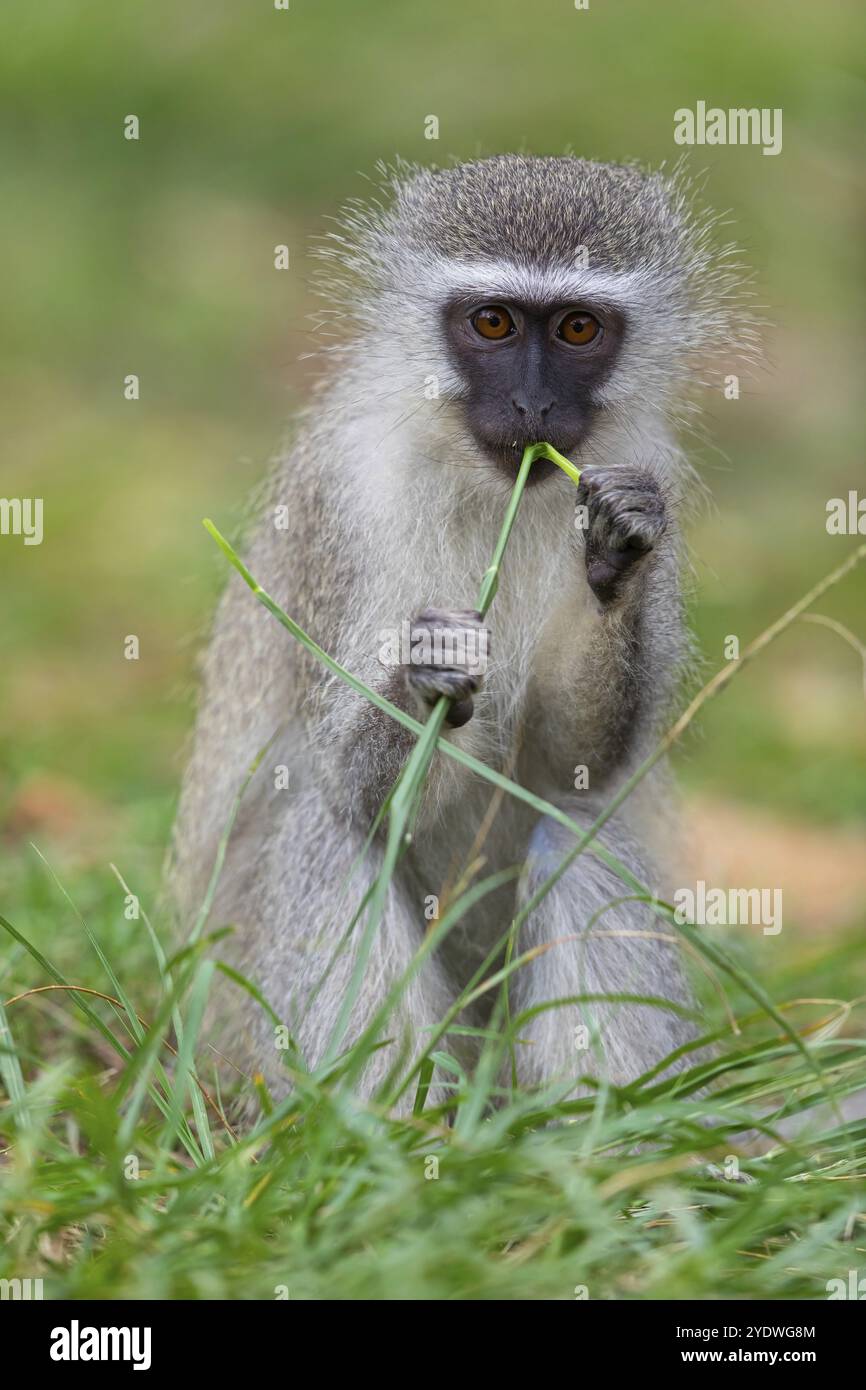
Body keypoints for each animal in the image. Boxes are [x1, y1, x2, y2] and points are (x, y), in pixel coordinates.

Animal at [171, 155, 752, 1114]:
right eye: (492, 322)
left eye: (579, 328)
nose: (532, 403)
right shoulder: (346, 500)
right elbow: (356, 789)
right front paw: (429, 667)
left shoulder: (651, 469)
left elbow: (569, 765)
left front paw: (616, 552)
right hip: (232, 1024)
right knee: (326, 825)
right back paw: (373, 1127)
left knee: (572, 826)